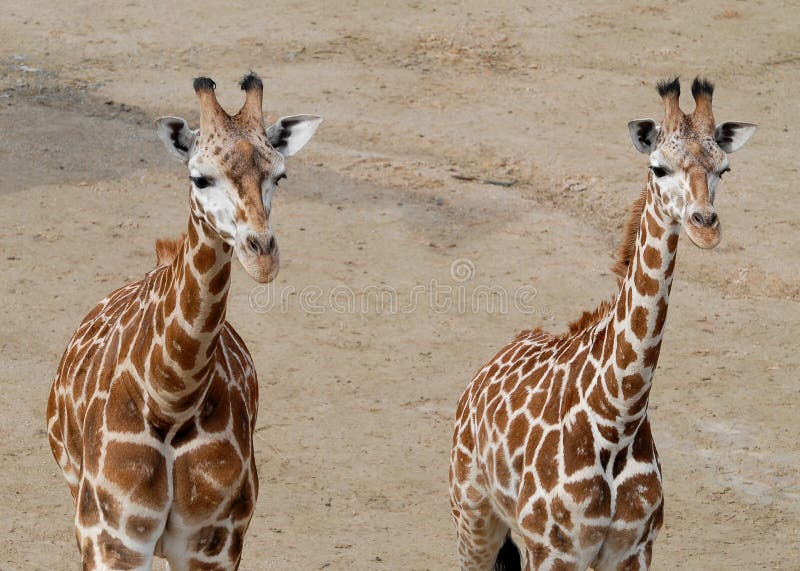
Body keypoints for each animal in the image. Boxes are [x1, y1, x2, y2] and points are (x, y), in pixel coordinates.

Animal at [46, 73, 322, 570]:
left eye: (280, 175)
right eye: (200, 177)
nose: (263, 257)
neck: (171, 400)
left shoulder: (214, 543)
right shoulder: (111, 541)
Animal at [449, 77, 756, 571]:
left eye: (723, 169)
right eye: (658, 168)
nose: (705, 226)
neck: (617, 418)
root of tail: (480, 378)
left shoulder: (634, 550)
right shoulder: (553, 551)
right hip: (473, 515)